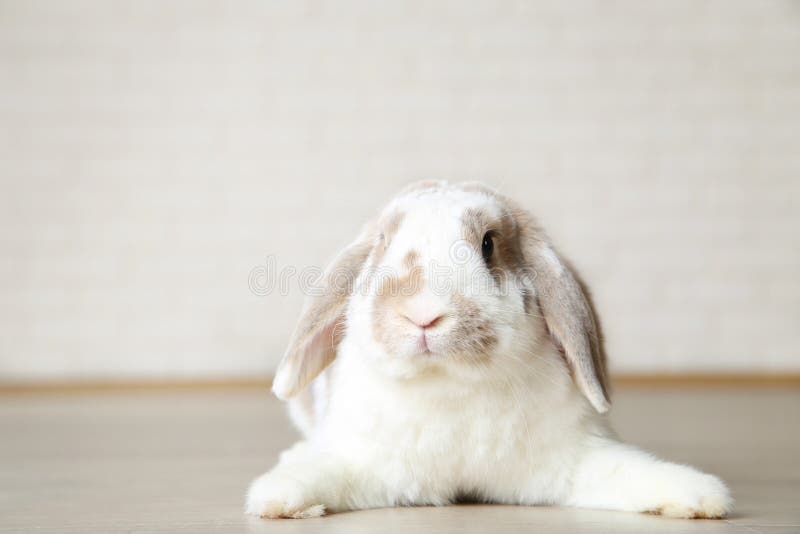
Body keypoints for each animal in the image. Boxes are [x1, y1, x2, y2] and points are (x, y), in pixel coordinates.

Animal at [246, 181, 732, 520]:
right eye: (383, 243)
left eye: (488, 244)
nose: (423, 314)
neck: (451, 387)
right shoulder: (372, 467)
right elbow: (329, 474)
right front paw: (275, 496)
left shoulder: (572, 461)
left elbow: (629, 472)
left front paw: (701, 495)